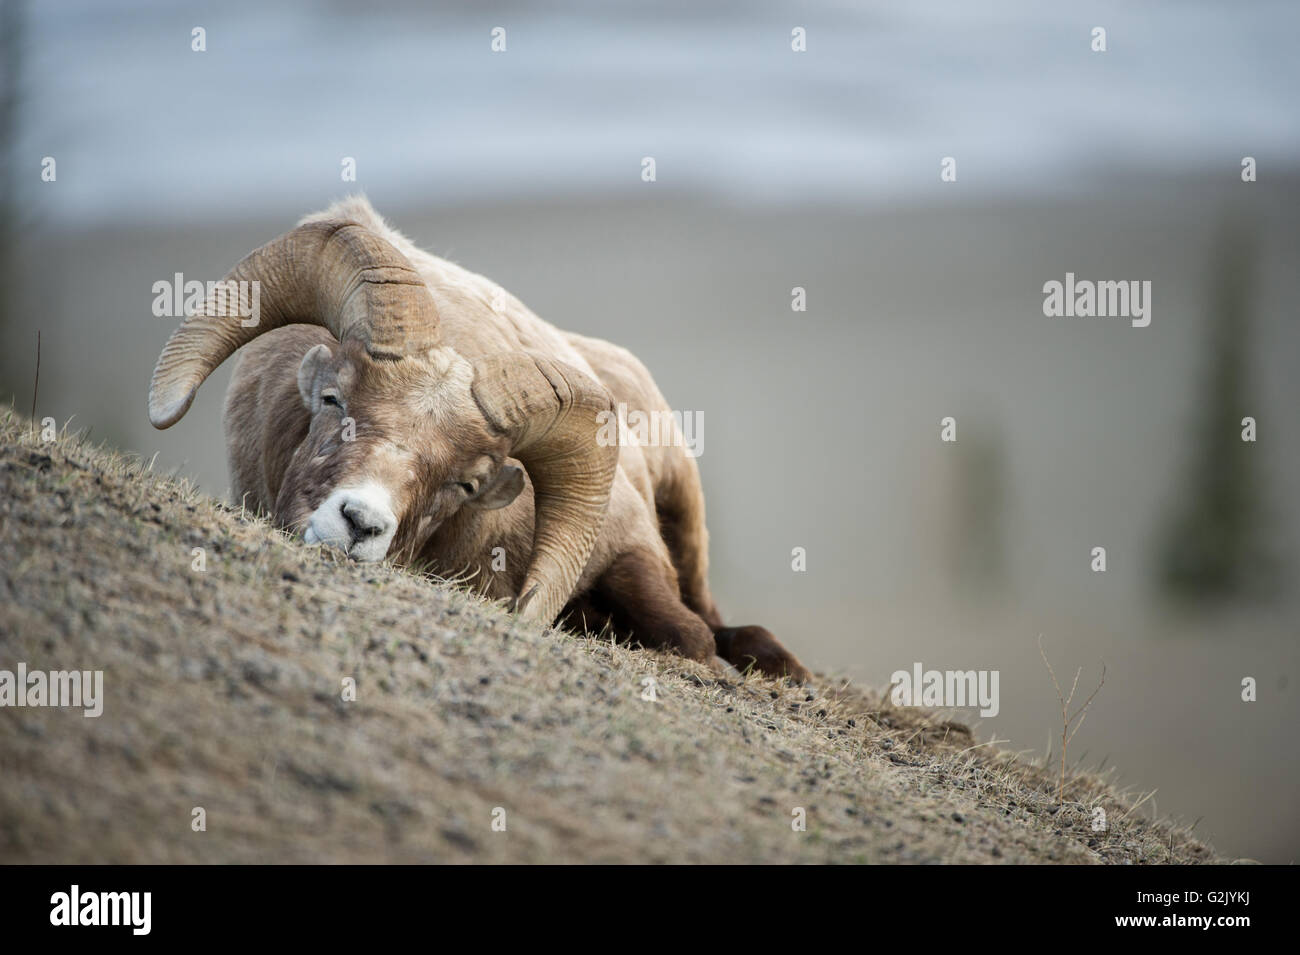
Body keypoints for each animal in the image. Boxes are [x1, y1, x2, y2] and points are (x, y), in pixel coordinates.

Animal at [148, 196, 809, 682]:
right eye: (334, 400)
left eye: (464, 483)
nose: (359, 524)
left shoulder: (630, 545)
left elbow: (689, 634)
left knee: (711, 616)